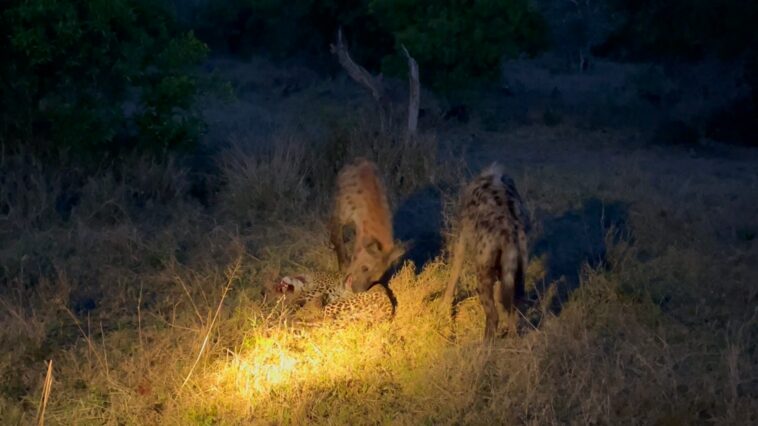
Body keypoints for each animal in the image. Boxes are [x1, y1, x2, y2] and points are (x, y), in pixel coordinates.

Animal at [330, 158, 405, 293]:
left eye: (377, 276)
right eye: (365, 268)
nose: (357, 290)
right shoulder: (340, 215)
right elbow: (337, 238)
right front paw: (343, 266)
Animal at [442, 163, 529, 341]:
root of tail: (510, 232)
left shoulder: (462, 236)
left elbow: (454, 272)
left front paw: (443, 307)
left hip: (482, 274)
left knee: (493, 316)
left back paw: (484, 345)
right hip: (518, 272)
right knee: (514, 310)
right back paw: (512, 339)